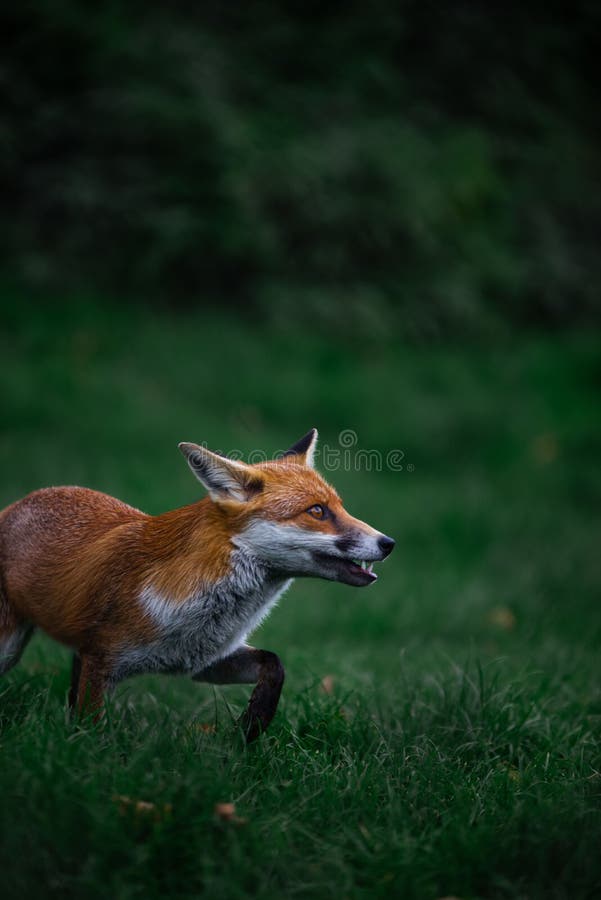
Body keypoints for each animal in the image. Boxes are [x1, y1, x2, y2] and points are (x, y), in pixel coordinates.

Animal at [0, 428, 394, 741]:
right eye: (316, 511)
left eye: (340, 507)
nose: (388, 543)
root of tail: (18, 504)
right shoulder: (100, 658)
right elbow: (90, 726)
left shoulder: (202, 659)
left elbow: (275, 666)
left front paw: (248, 730)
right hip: (9, 647)